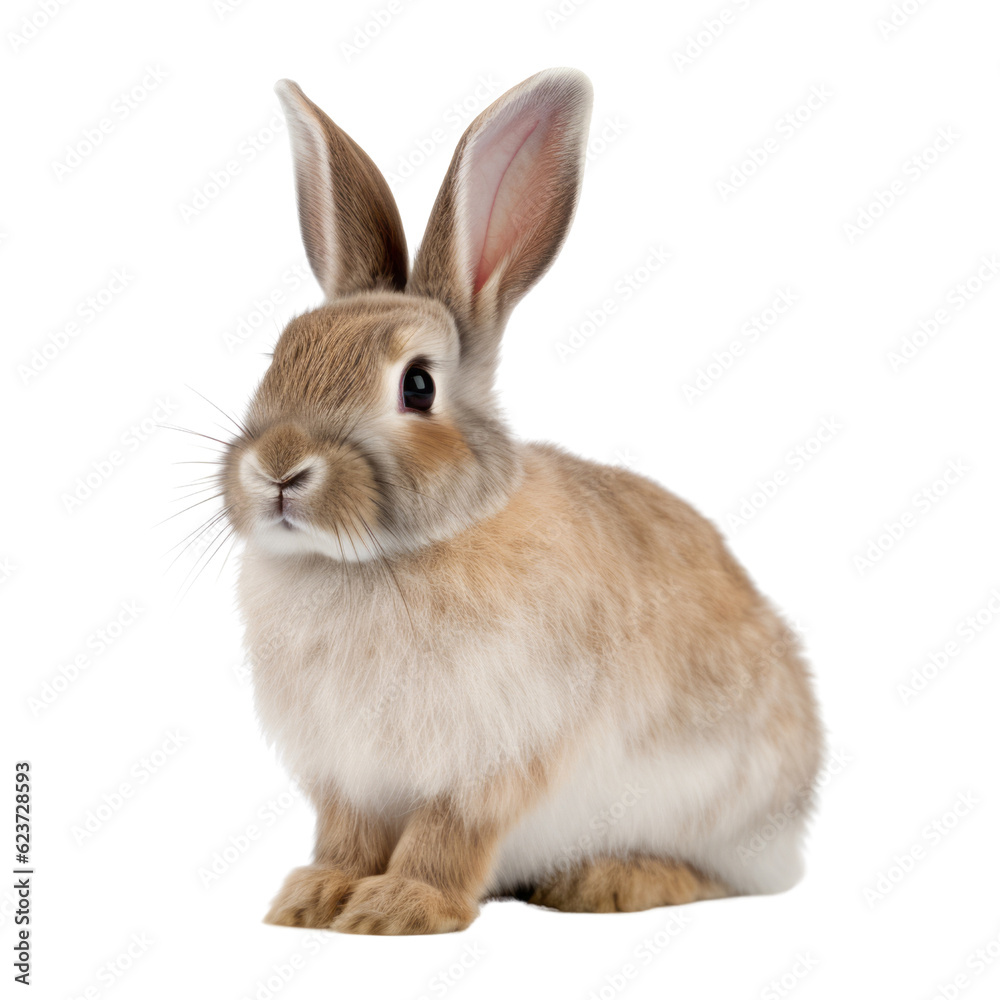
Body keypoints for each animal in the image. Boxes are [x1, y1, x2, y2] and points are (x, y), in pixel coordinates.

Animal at [221, 68, 823, 935]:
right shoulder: (349, 779)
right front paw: (315, 898)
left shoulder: (493, 760)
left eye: (417, 385)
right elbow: (346, 837)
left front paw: (398, 909)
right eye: (280, 355)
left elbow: (448, 837)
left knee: (718, 878)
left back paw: (614, 882)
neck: (375, 561)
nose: (277, 469)